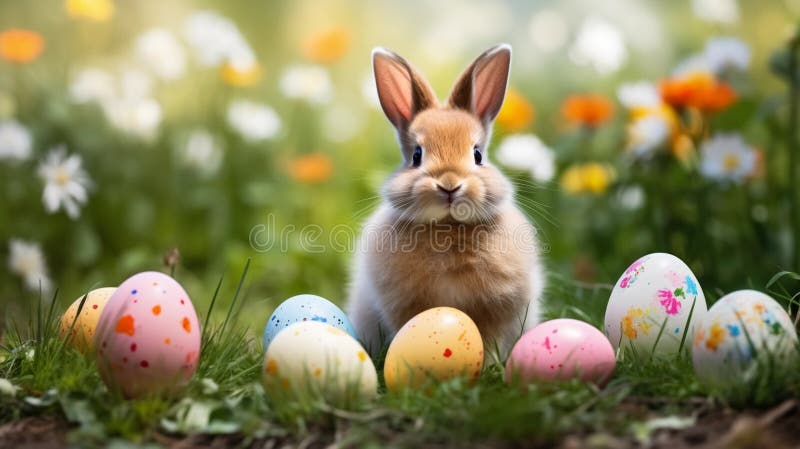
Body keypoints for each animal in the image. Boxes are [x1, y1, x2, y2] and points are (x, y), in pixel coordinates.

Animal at [347, 44, 545, 359]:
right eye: (417, 155)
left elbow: (488, 339)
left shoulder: (494, 310)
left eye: (477, 154)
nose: (449, 184)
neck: (449, 228)